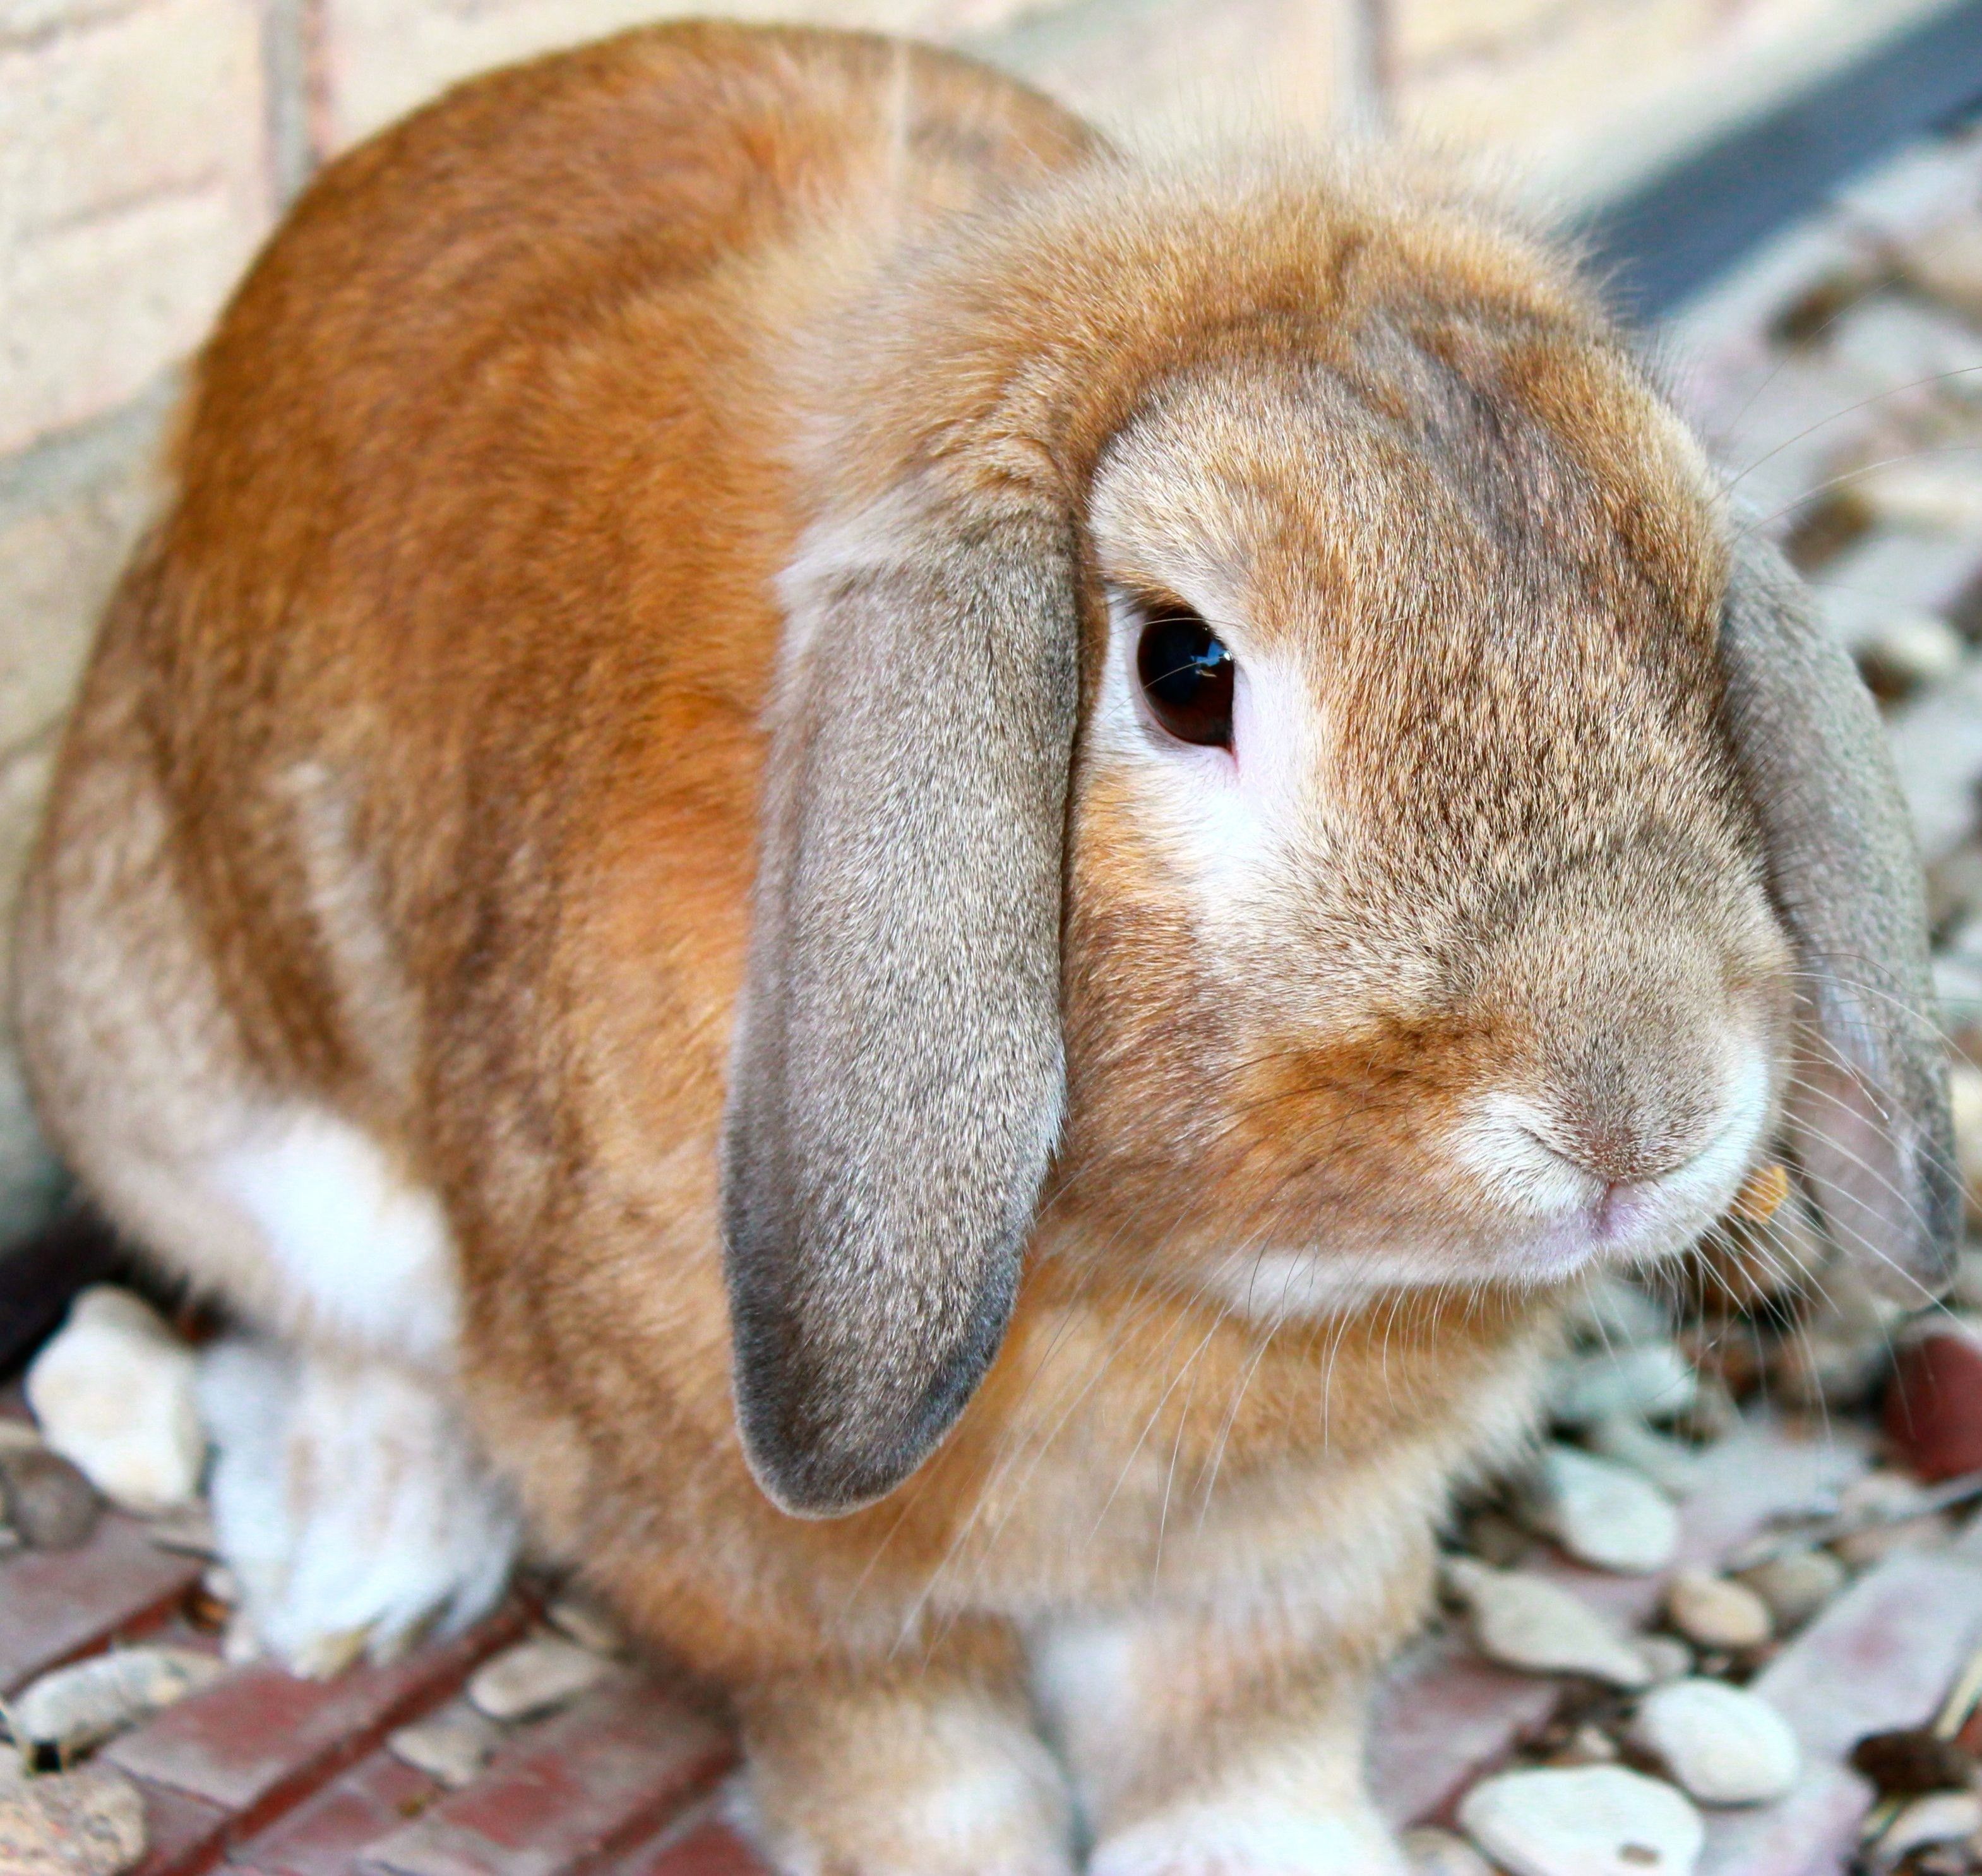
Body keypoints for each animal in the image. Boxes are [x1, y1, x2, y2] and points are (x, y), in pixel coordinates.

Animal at [13, 18, 1954, 1873]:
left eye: (1687, 616)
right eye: (1185, 669)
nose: (1638, 1114)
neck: (1160, 1280)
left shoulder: (1283, 1564)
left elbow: (1233, 1725)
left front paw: (1255, 1850)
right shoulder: (779, 1565)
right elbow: (902, 1749)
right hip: (187, 1075)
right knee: (346, 1337)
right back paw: (370, 1566)